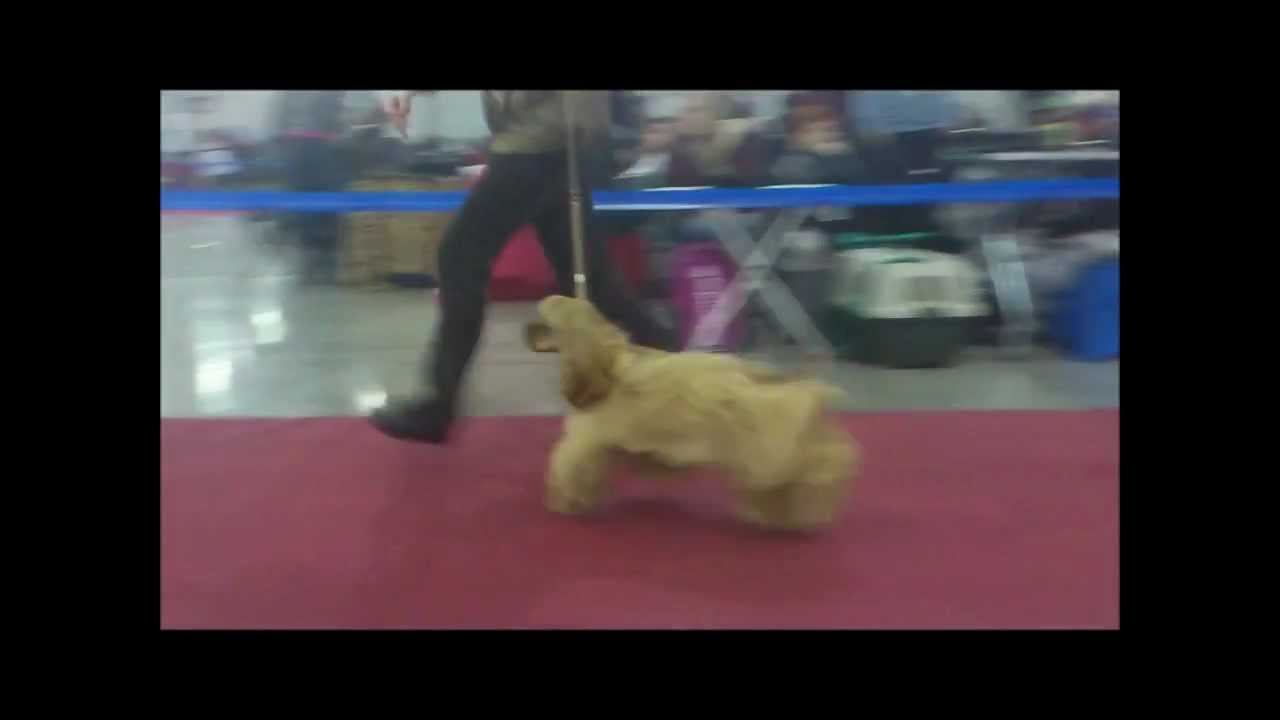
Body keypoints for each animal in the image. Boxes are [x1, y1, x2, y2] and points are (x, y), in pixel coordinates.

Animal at [537, 295, 859, 531]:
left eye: (544, 323)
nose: (529, 332)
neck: (605, 364)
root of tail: (757, 376)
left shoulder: (585, 440)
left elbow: (569, 469)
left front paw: (568, 502)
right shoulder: (599, 443)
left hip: (767, 446)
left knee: (818, 459)